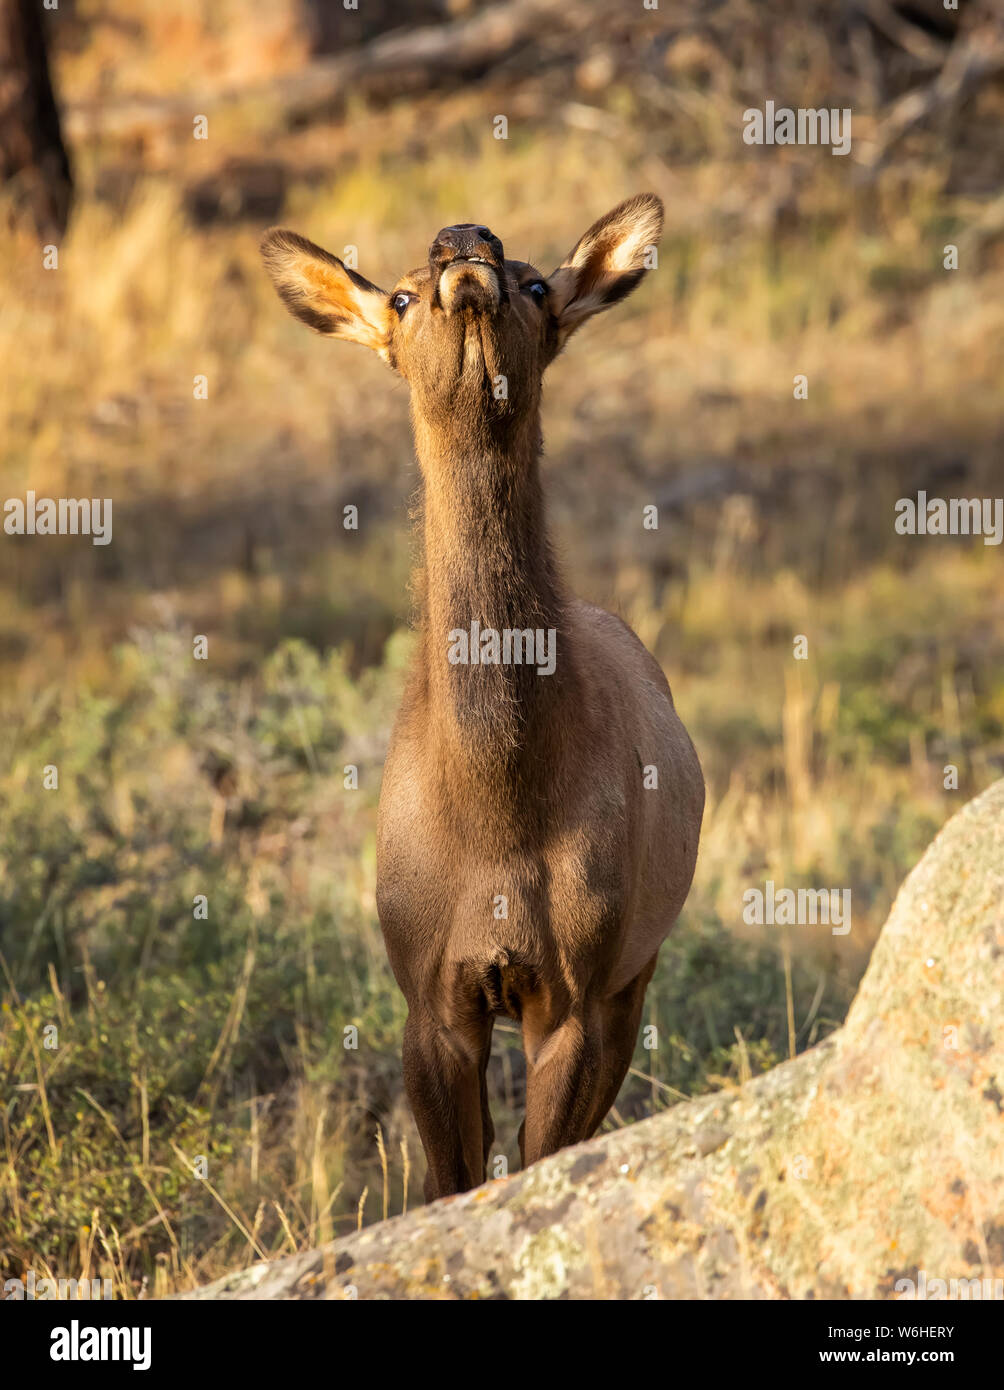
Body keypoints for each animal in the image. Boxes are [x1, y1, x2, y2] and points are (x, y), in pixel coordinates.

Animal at [261, 194, 705, 1201]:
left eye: (539, 284)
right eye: (397, 294)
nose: (464, 242)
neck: (500, 809)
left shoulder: (578, 989)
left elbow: (542, 1161)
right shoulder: (429, 993)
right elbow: (451, 1181)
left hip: (637, 971)